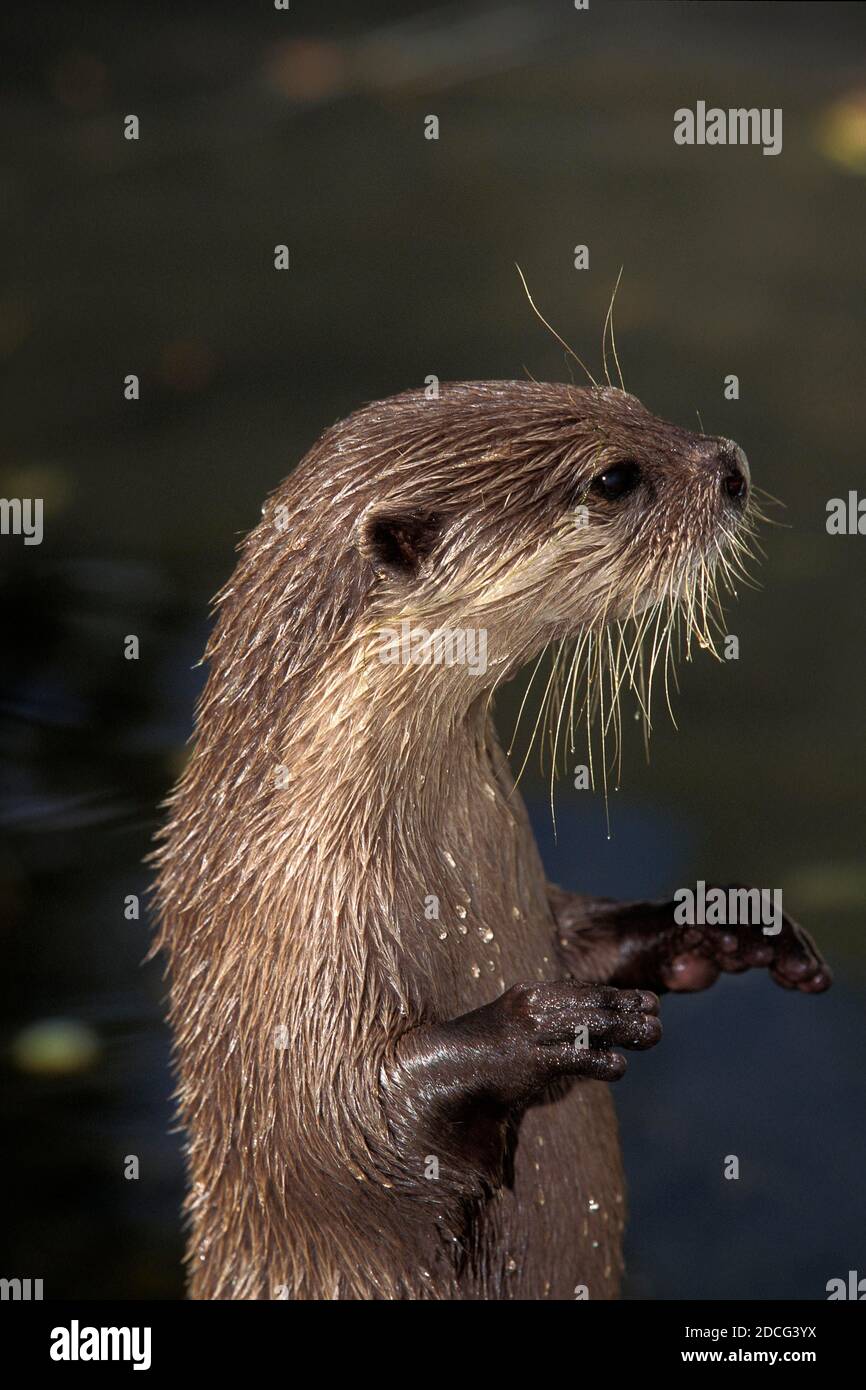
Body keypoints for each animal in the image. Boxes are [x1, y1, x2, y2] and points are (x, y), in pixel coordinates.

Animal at [153, 380, 830, 1300]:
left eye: (628, 399)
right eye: (615, 478)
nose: (730, 465)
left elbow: (587, 935)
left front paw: (718, 926)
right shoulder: (275, 952)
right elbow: (343, 1117)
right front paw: (549, 1030)